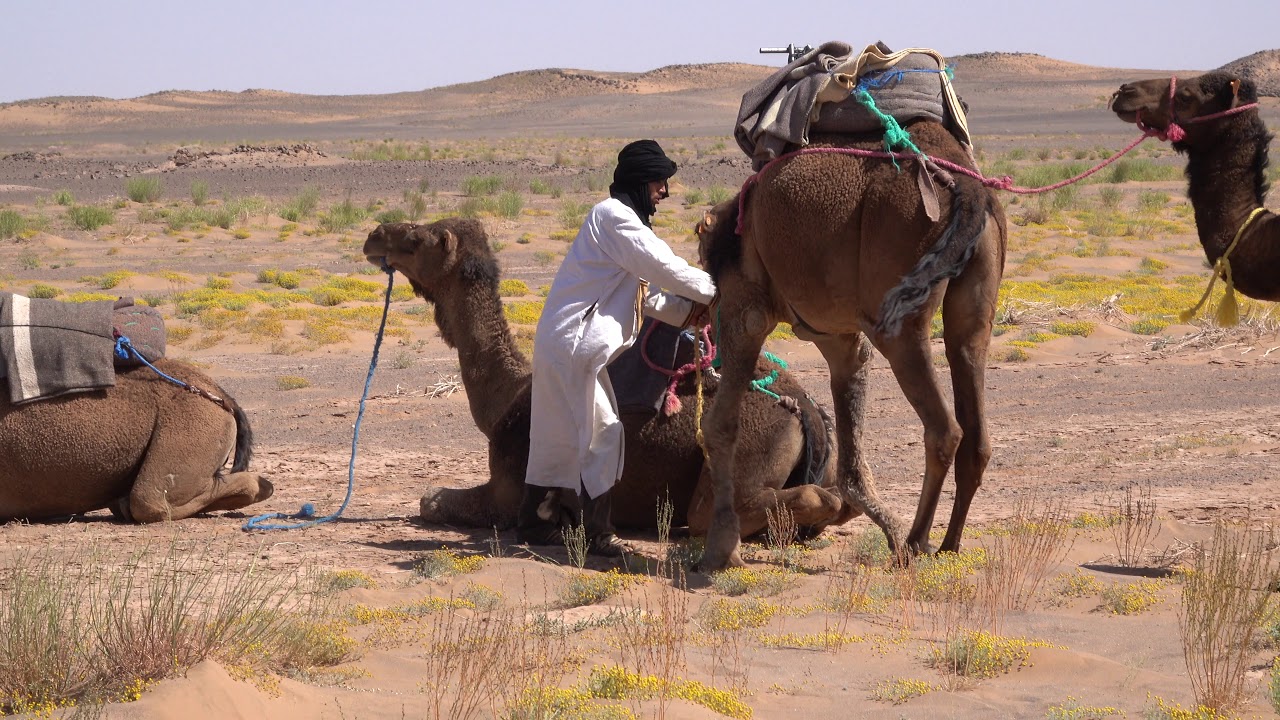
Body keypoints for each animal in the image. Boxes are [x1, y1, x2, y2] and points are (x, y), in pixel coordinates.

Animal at [362, 220, 861, 539]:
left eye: (414, 239)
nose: (374, 235)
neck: (507, 399)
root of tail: (805, 410)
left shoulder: (507, 491)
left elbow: (429, 500)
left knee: (726, 511)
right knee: (840, 499)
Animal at [695, 121, 1008, 569]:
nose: (699, 318)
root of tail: (969, 189)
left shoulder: (744, 310)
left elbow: (720, 425)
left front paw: (720, 548)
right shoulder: (838, 338)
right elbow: (850, 465)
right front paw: (885, 527)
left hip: (899, 316)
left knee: (945, 429)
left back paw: (916, 541)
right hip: (975, 303)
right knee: (975, 427)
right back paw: (946, 545)